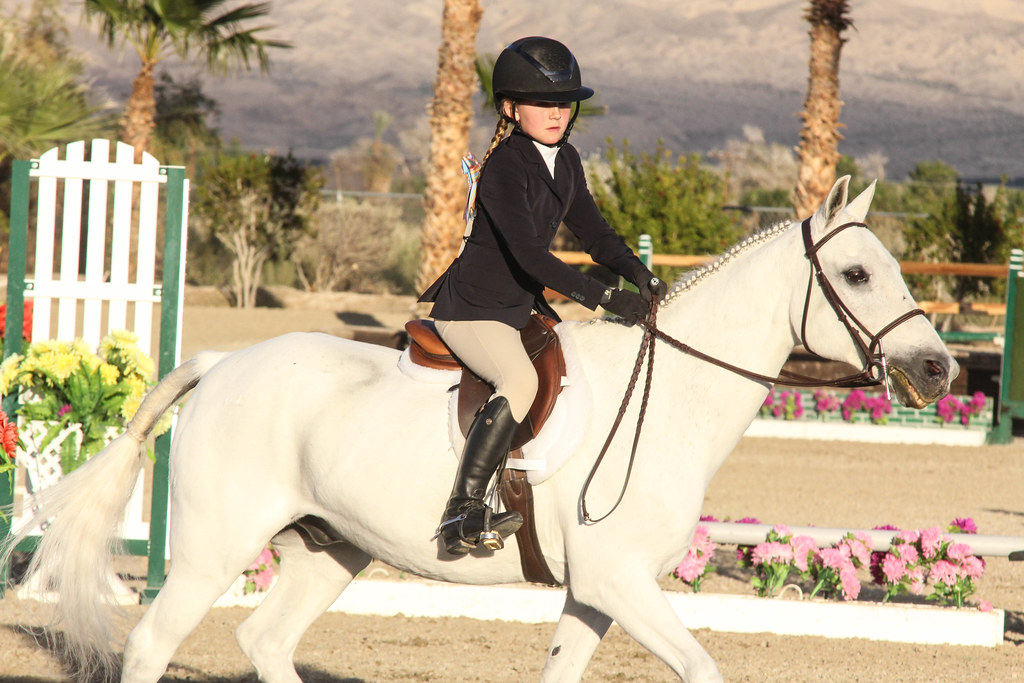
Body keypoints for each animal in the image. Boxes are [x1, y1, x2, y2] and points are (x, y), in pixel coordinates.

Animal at [2, 176, 957, 683]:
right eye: (857, 273)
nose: (940, 368)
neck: (673, 395)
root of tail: (221, 363)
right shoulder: (619, 582)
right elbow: (702, 668)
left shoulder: (595, 591)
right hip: (214, 546)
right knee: (154, 642)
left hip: (330, 547)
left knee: (264, 639)